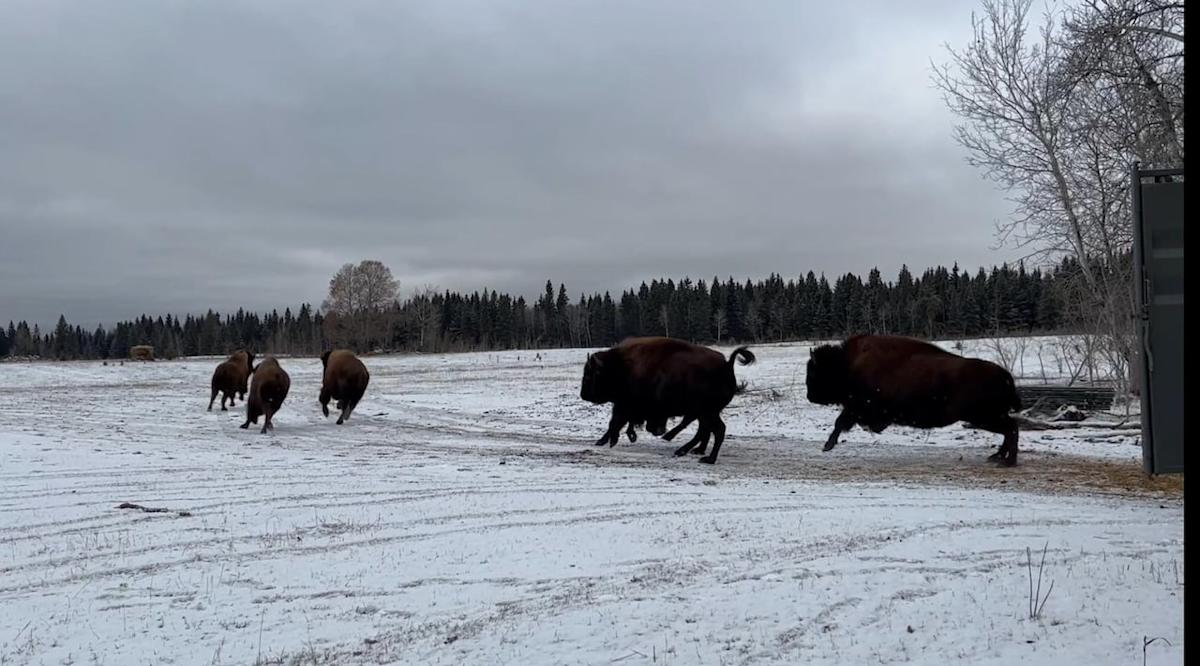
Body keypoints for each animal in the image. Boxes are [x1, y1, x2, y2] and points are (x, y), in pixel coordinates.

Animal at [580, 337, 755, 464]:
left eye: (589, 375)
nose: (583, 395)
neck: (619, 366)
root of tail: (727, 365)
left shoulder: (625, 405)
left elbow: (616, 422)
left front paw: (608, 441)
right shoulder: (626, 407)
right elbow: (620, 422)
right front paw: (612, 439)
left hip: (707, 412)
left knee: (716, 430)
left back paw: (704, 458)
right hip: (706, 413)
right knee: (705, 430)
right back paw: (691, 450)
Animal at [806, 334, 1022, 465]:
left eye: (815, 373)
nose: (809, 396)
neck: (846, 366)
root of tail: (1005, 376)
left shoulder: (856, 407)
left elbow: (839, 422)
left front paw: (827, 446)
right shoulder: (855, 409)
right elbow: (842, 422)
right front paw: (828, 445)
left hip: (983, 416)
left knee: (1011, 428)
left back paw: (1007, 461)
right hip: (988, 416)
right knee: (1010, 428)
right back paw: (997, 457)